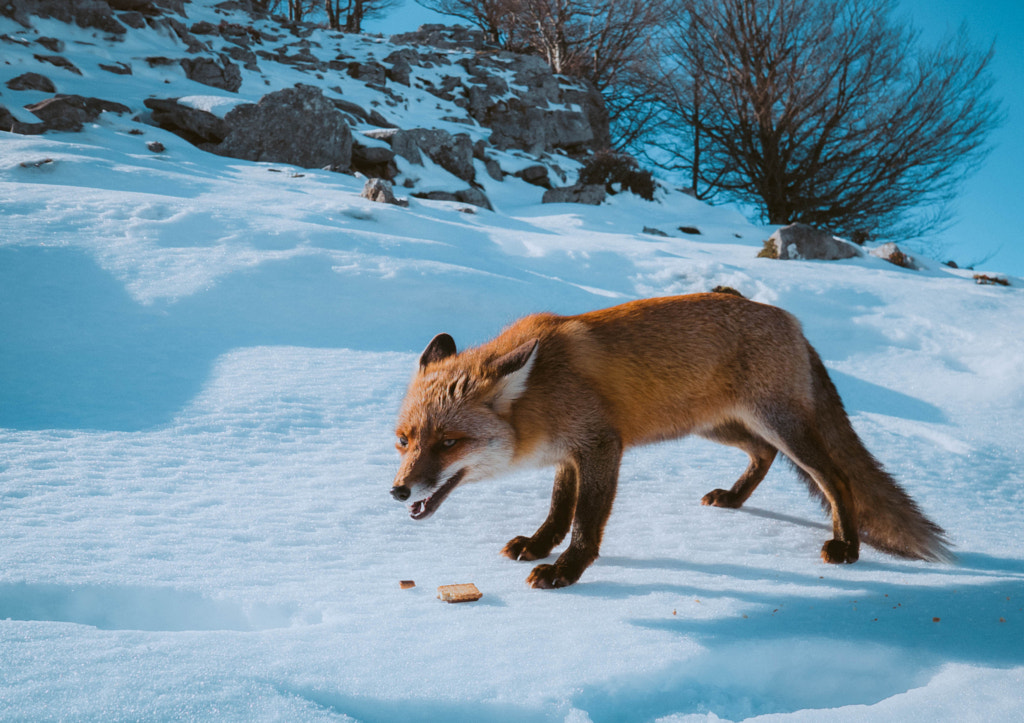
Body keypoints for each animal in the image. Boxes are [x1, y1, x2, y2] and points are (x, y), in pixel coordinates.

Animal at [390, 293, 951, 589]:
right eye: (404, 440)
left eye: (449, 443)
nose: (398, 491)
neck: (541, 392)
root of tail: (790, 319)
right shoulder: (570, 452)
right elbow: (558, 509)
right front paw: (538, 545)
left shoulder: (600, 445)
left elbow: (585, 521)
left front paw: (566, 570)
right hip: (716, 426)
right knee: (763, 455)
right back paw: (733, 499)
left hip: (779, 424)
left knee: (835, 476)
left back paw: (848, 545)